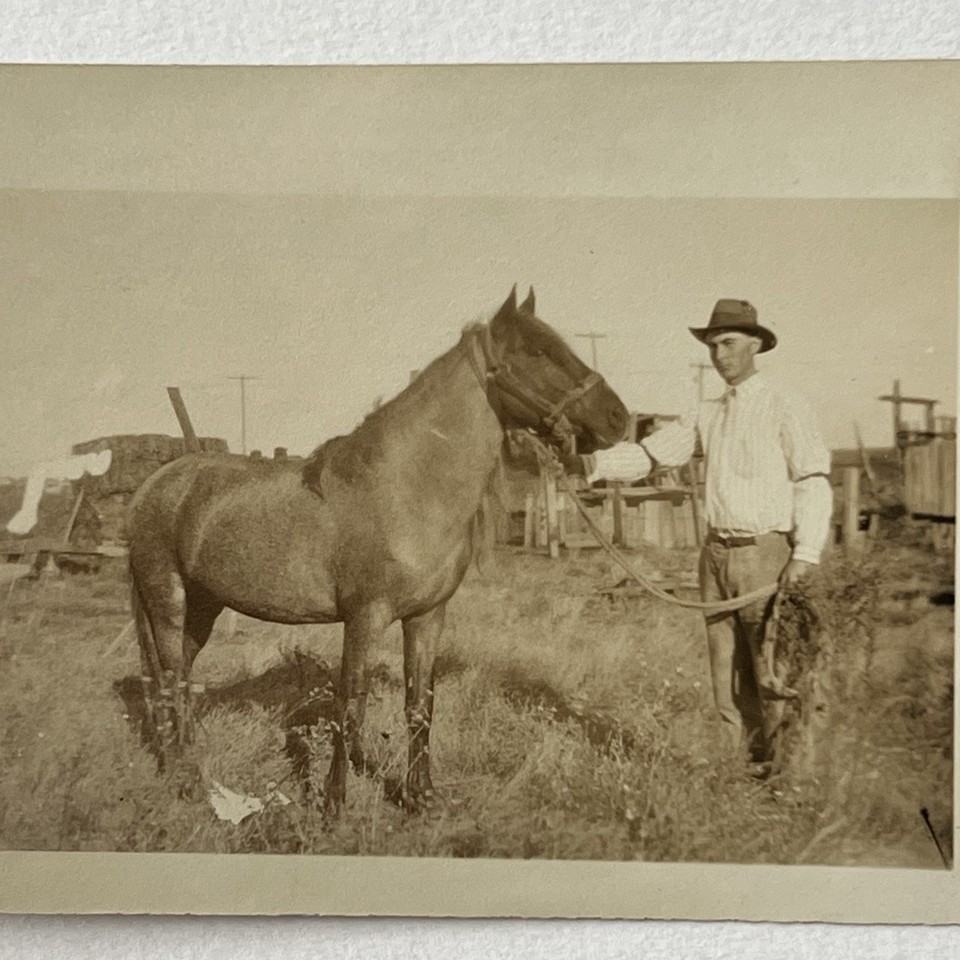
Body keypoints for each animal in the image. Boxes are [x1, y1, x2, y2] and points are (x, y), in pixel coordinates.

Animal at [126, 286, 629, 815]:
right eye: (537, 352)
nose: (619, 417)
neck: (403, 489)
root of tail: (155, 485)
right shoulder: (364, 618)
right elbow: (352, 705)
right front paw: (334, 804)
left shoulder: (427, 616)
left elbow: (420, 704)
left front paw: (420, 795)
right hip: (167, 601)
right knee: (170, 678)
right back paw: (185, 778)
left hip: (203, 606)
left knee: (178, 678)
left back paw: (184, 762)